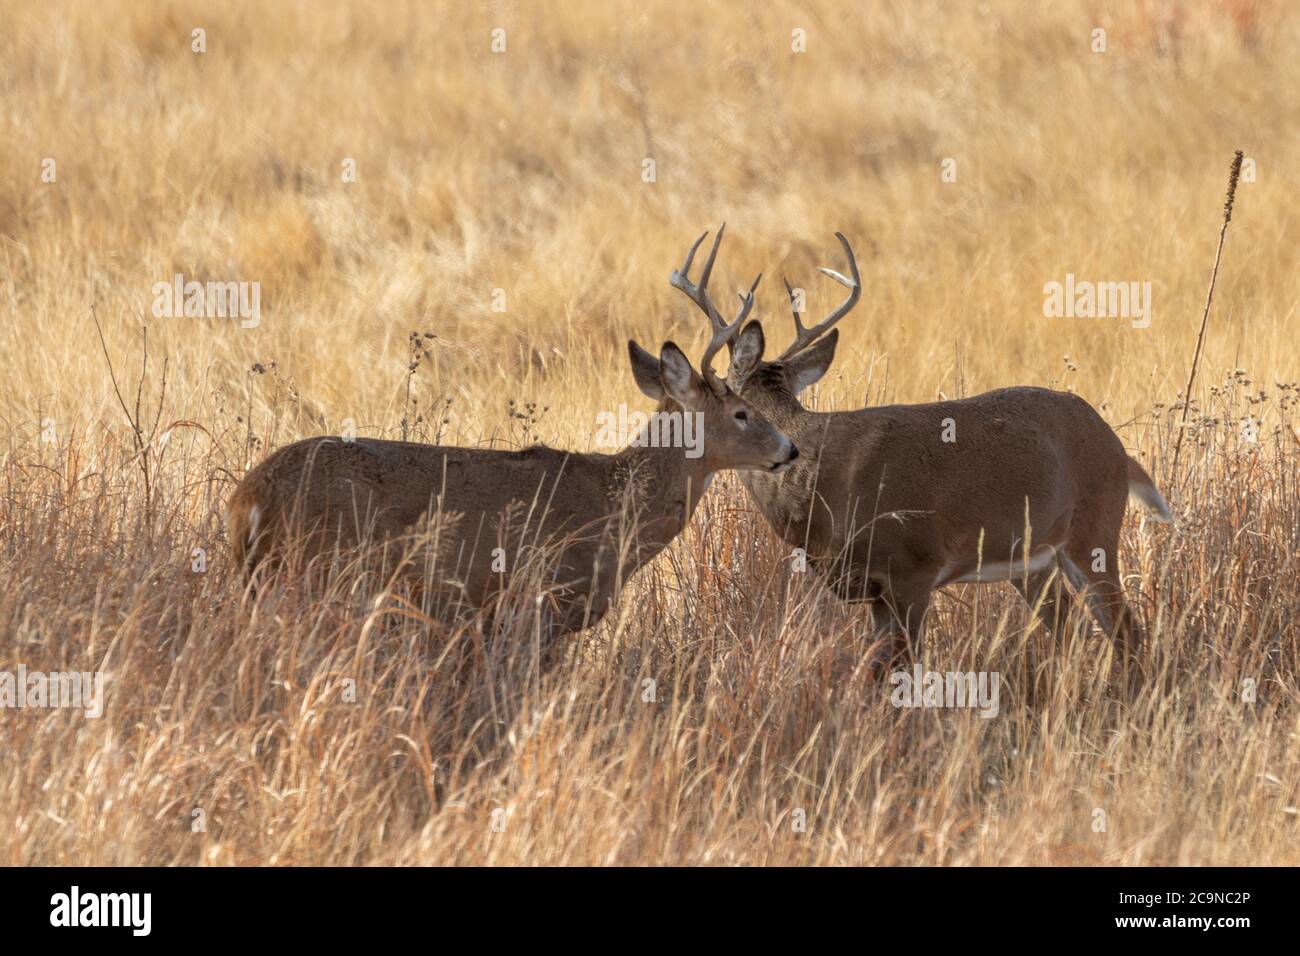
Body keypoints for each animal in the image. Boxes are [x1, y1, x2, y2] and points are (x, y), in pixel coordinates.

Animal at [226, 254, 798, 655]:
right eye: (742, 412)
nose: (789, 448)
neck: (614, 510)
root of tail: (248, 499)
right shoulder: (538, 602)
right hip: (316, 576)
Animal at [670, 225, 1172, 674]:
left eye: (723, 396)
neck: (821, 487)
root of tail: (1116, 445)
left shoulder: (914, 568)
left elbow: (905, 669)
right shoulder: (873, 590)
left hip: (1093, 530)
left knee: (1126, 630)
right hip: (1034, 562)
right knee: (1072, 631)